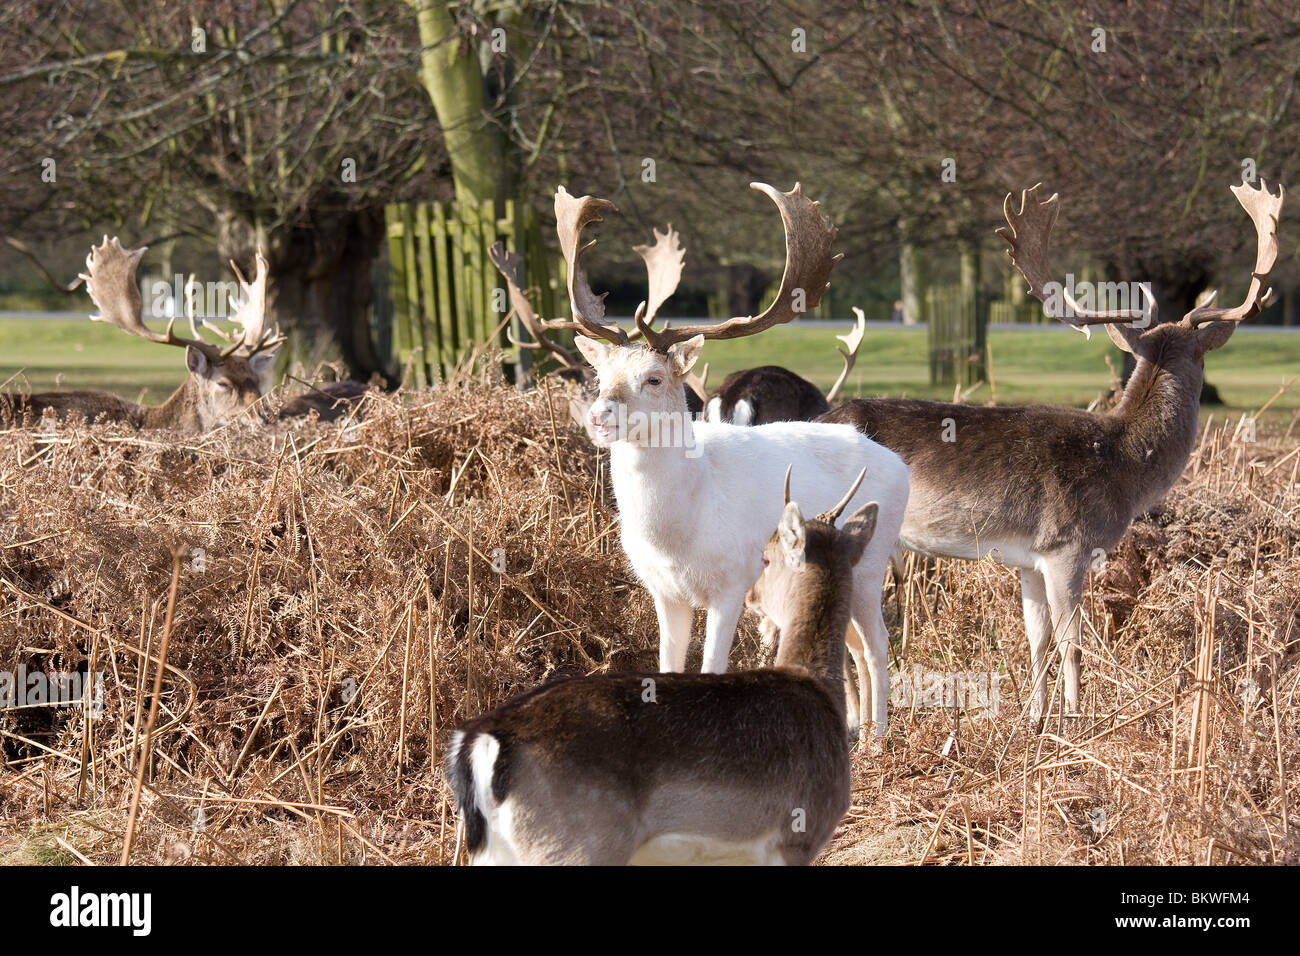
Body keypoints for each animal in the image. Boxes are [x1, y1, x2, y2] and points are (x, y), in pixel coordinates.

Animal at [446, 469, 879, 865]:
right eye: (766, 554)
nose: (752, 596)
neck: (819, 688)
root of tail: (482, 741)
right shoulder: (798, 837)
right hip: (574, 849)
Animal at [819, 179, 1286, 720]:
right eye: (1204, 357)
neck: (1125, 466)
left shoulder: (1029, 558)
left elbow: (1037, 638)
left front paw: (1037, 716)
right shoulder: (1069, 545)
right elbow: (1072, 643)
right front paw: (1075, 717)